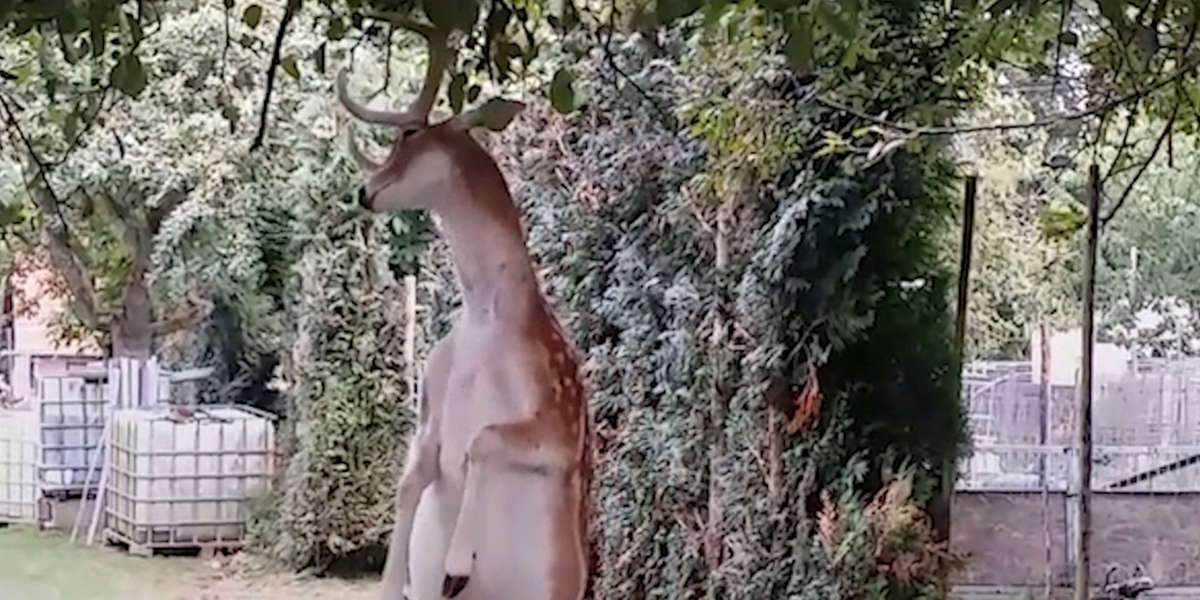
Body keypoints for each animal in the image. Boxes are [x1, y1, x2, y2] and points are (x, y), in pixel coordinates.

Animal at [335, 18, 591, 600]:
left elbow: (481, 438)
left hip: (559, 585)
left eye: (409, 134)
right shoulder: (428, 400)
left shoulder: (564, 422)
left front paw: (457, 562)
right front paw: (392, 580)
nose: (363, 191)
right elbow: (412, 476)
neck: (483, 319)